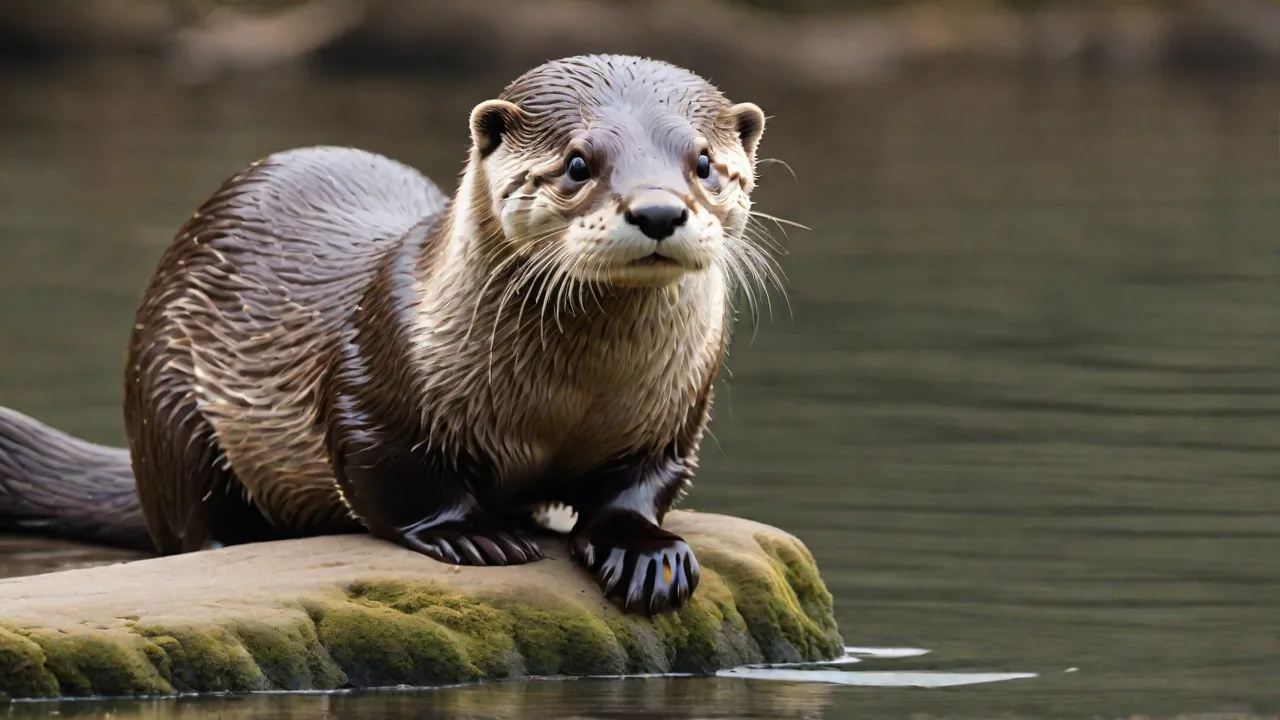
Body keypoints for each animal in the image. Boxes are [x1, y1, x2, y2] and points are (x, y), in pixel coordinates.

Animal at [0, 54, 779, 616]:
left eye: (704, 163)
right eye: (578, 164)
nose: (658, 210)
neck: (566, 402)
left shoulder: (675, 411)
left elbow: (640, 486)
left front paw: (647, 554)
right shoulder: (372, 380)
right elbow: (396, 477)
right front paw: (471, 532)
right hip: (167, 399)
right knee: (192, 520)